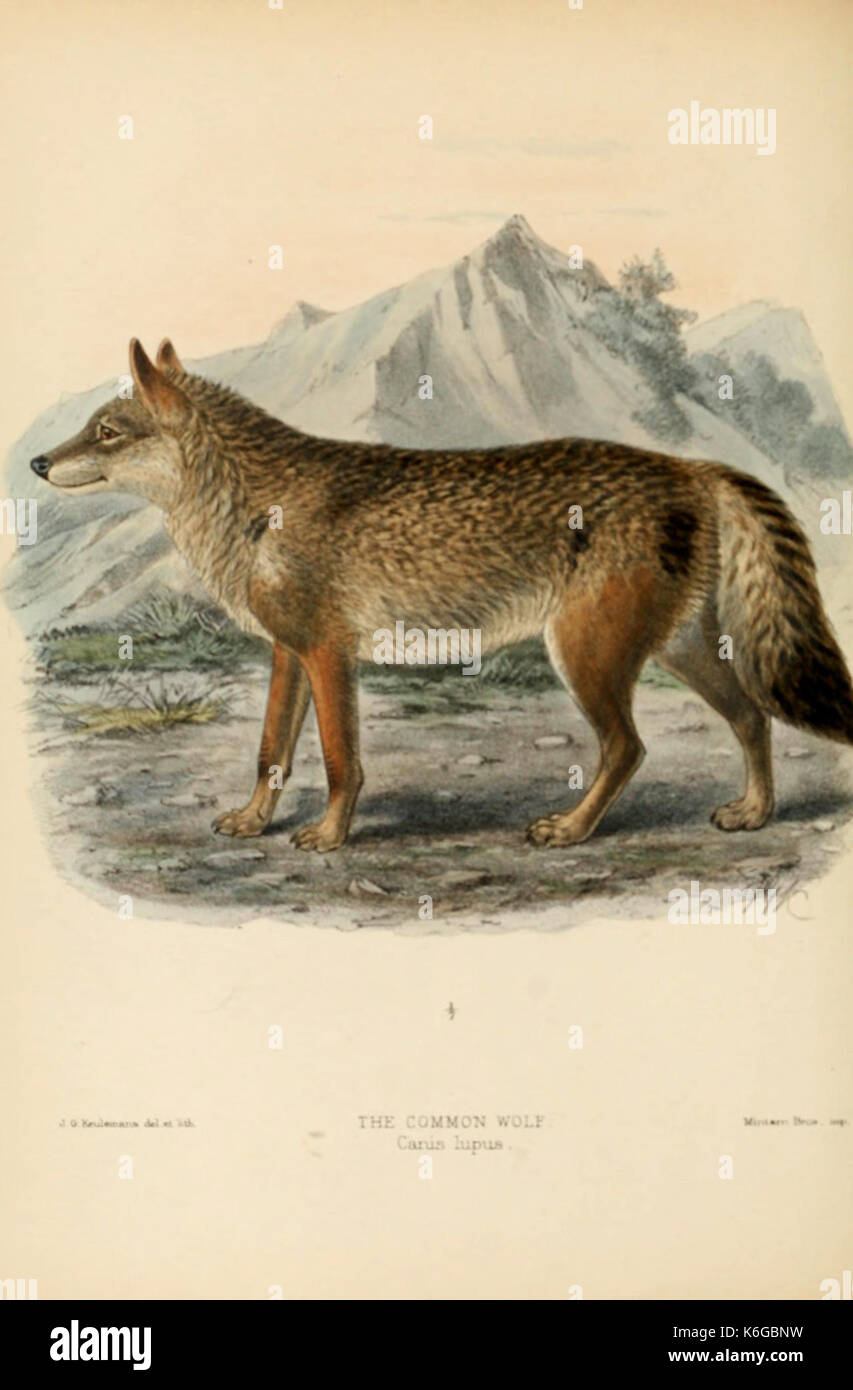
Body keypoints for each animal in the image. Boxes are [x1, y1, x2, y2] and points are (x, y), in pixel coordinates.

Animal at [31, 337, 853, 852]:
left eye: (105, 431)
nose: (36, 462)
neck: (255, 505)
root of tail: (691, 467)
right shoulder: (287, 654)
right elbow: (270, 752)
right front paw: (252, 821)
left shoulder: (328, 656)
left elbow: (340, 762)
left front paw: (329, 838)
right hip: (678, 653)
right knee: (751, 717)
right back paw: (755, 813)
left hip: (587, 658)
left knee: (630, 746)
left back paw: (571, 830)